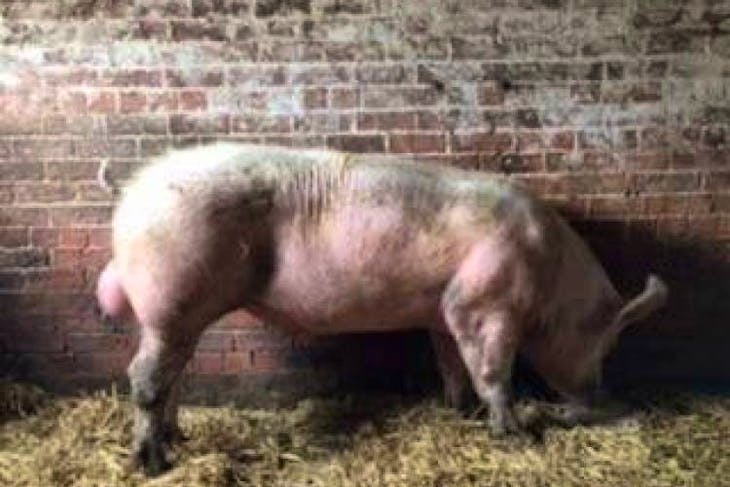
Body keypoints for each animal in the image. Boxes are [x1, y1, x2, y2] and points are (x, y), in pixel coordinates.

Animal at [96, 143, 668, 475]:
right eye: (607, 342)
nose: (597, 397)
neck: (549, 275)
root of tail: (133, 188)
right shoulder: (482, 303)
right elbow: (493, 370)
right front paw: (515, 433)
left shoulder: (443, 310)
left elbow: (452, 363)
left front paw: (460, 412)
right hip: (173, 298)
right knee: (144, 377)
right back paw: (153, 463)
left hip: (174, 314)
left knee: (171, 376)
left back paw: (178, 437)